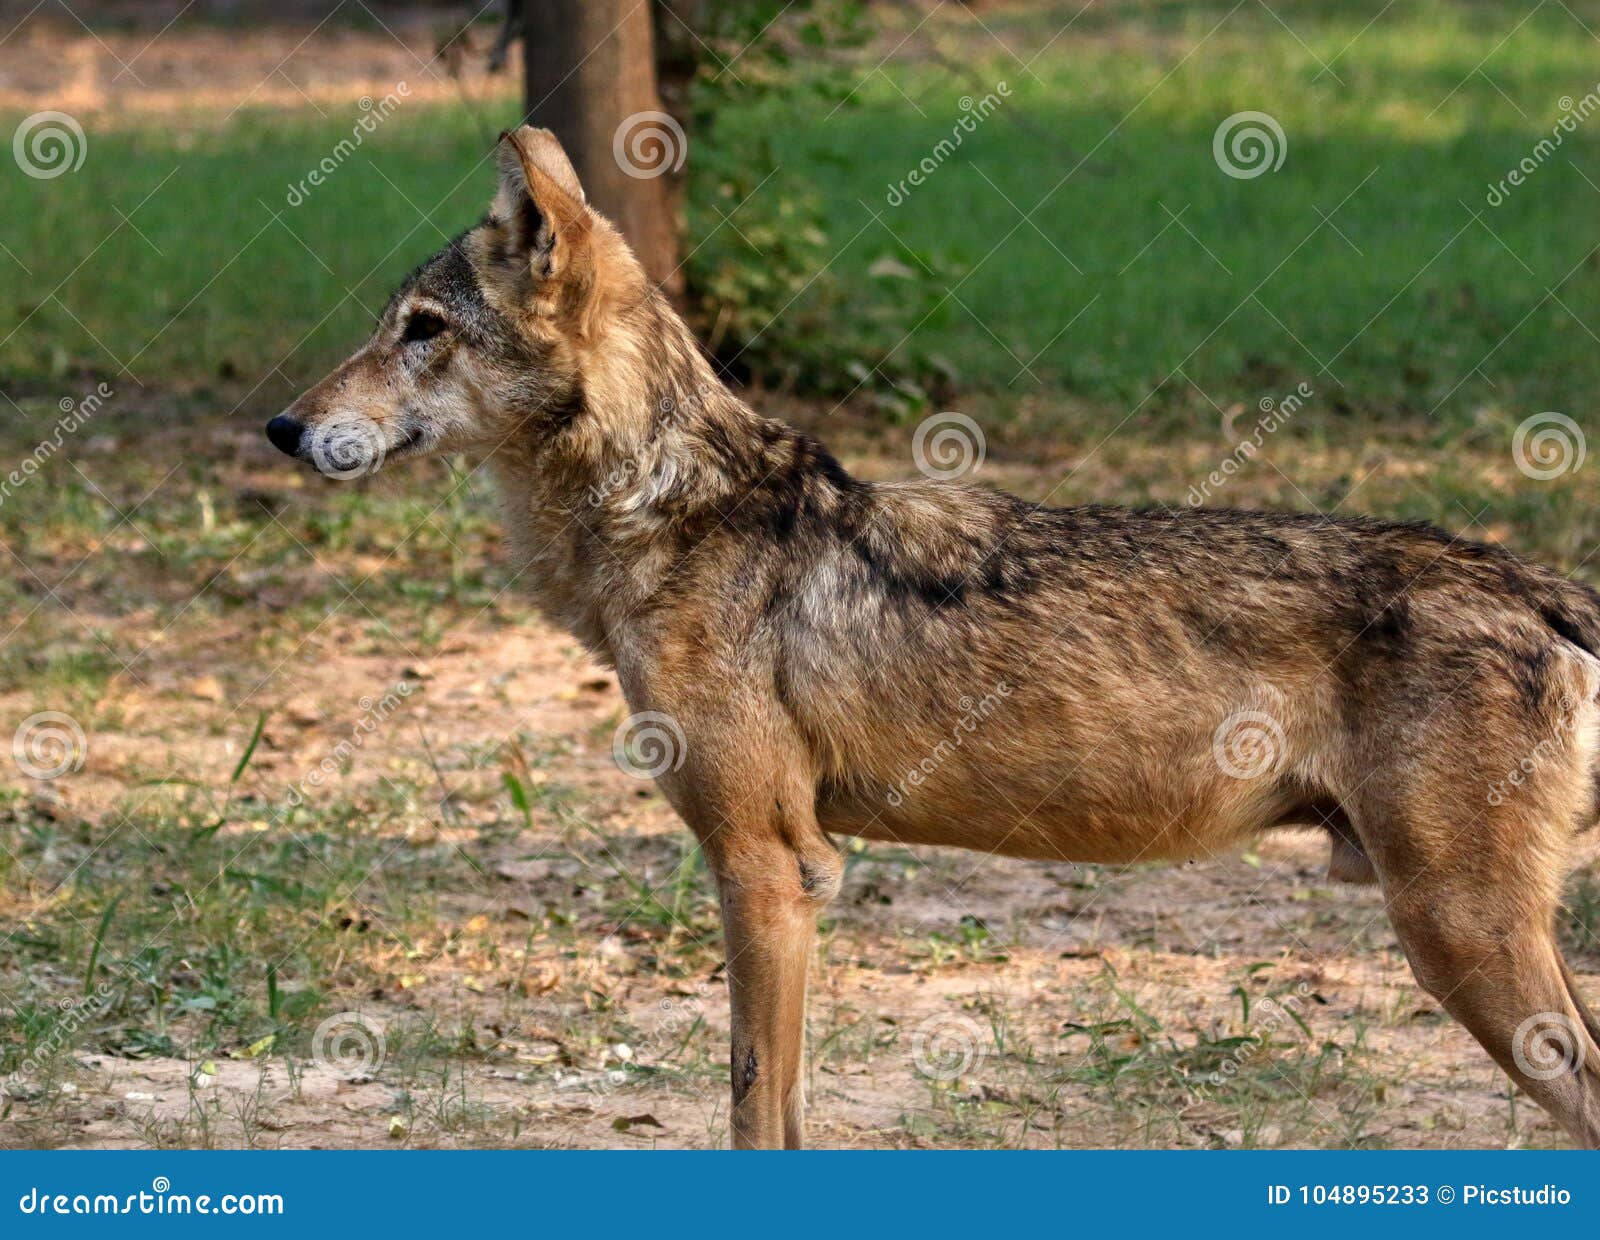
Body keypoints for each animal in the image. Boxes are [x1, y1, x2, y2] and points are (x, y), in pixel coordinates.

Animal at [267, 126, 1600, 1148]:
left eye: (423, 328)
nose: (281, 427)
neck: (671, 509)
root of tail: (1538, 583)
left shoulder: (769, 867)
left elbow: (753, 1109)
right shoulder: (792, 872)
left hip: (1460, 936)